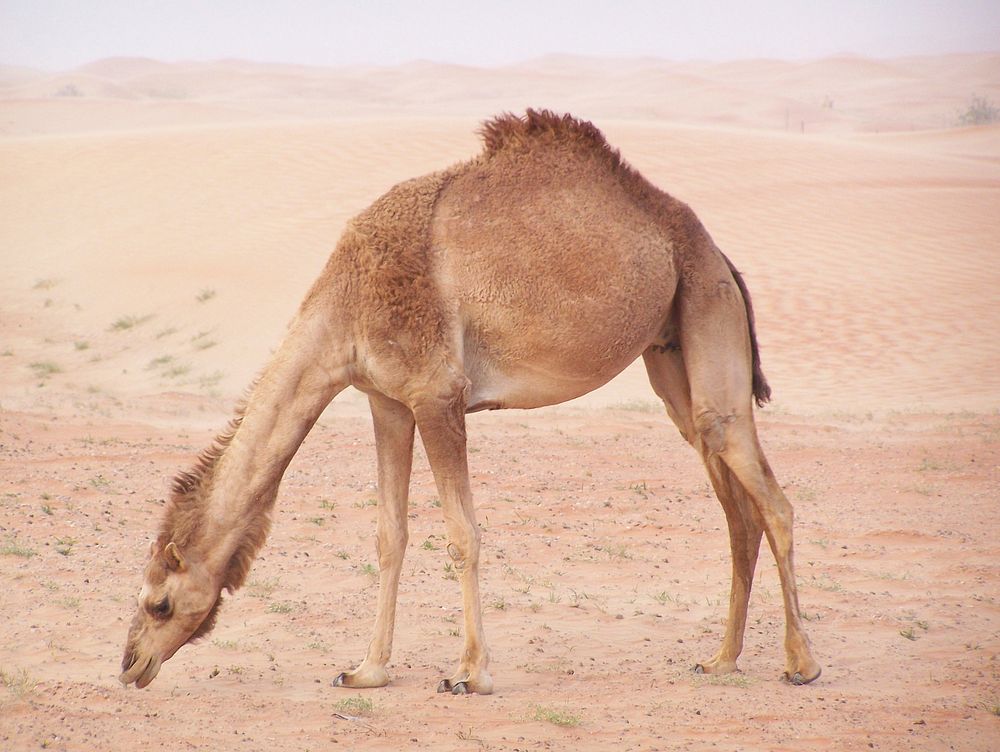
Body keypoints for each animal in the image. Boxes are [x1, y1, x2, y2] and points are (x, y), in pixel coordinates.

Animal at [120, 109, 821, 693]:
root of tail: (716, 251)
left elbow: (462, 534)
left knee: (773, 500)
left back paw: (801, 664)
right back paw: (721, 660)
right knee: (734, 505)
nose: (129, 664)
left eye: (159, 601)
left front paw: (470, 674)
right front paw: (367, 670)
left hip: (706, 306)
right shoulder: (386, 401)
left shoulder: (437, 396)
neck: (345, 306)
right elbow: (390, 536)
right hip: (672, 355)